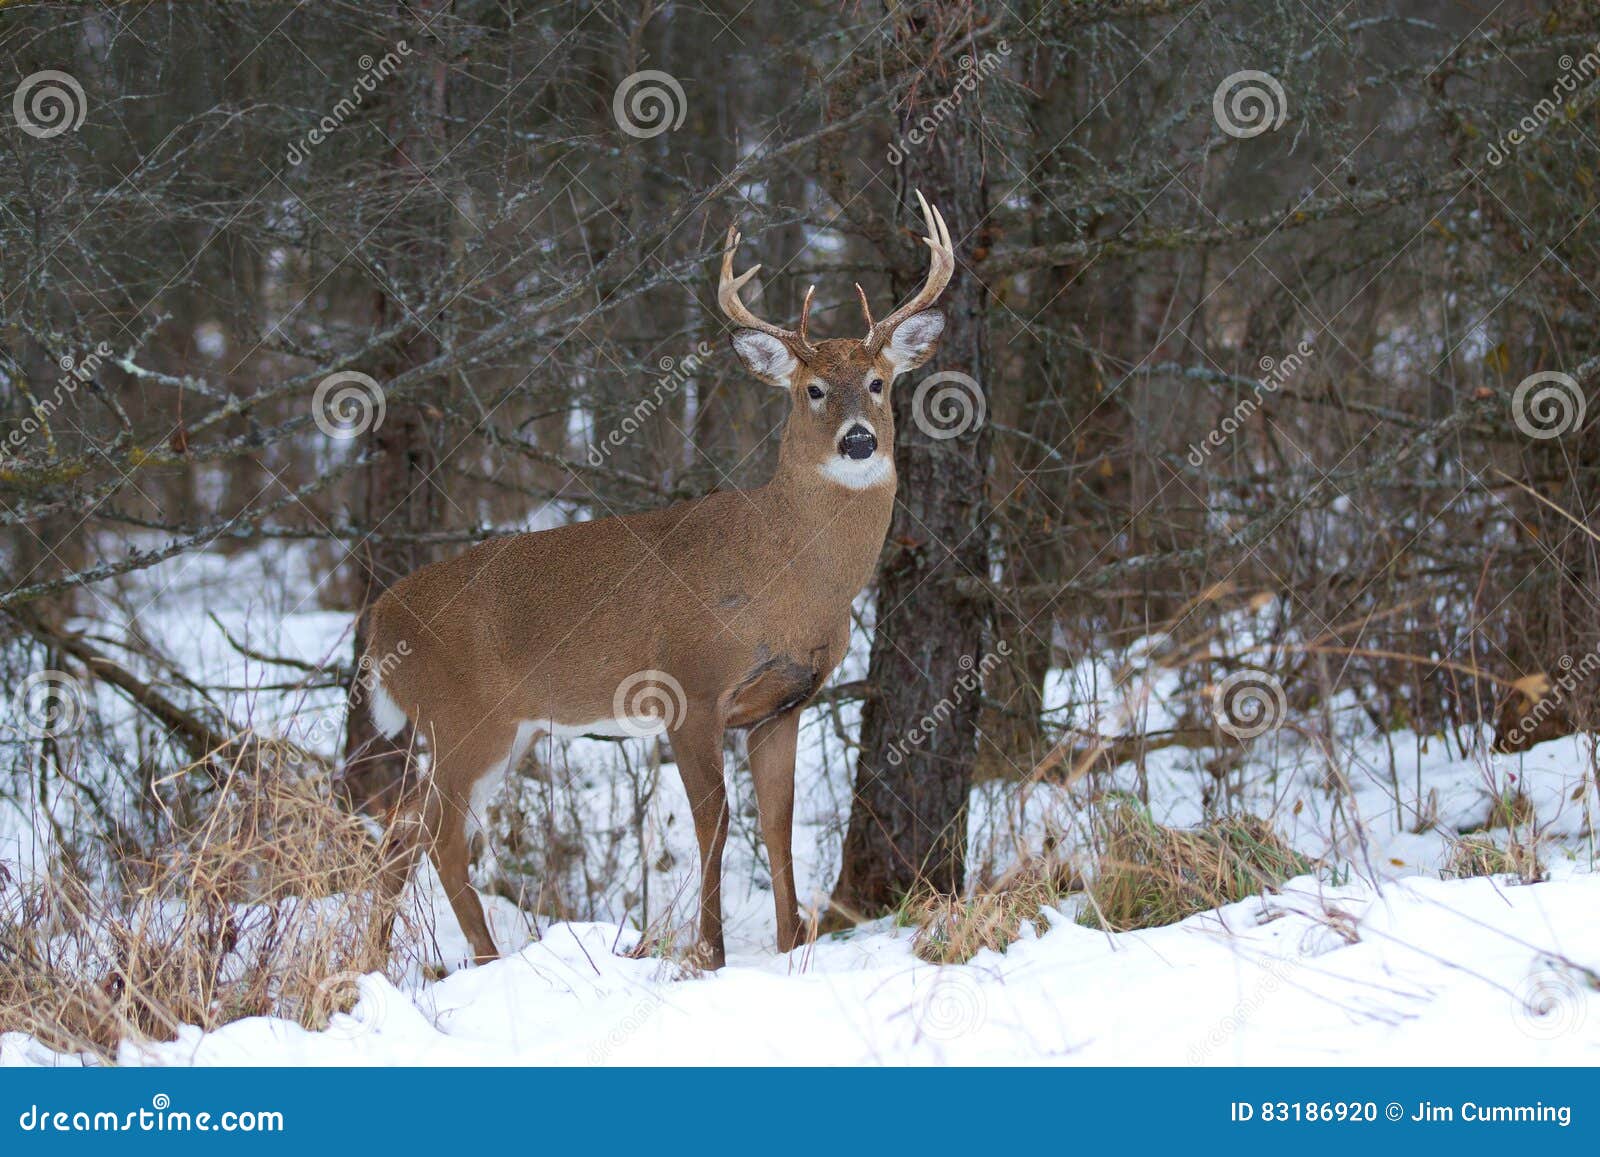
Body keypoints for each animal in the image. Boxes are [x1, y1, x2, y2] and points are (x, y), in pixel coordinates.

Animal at [358, 192, 954, 969]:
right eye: (813, 390)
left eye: (880, 383)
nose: (859, 439)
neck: (789, 576)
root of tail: (379, 622)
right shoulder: (688, 688)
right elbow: (715, 824)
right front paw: (711, 955)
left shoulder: (783, 704)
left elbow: (777, 824)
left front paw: (789, 946)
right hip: (465, 719)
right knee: (439, 837)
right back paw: (484, 961)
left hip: (502, 731)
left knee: (403, 829)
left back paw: (375, 962)